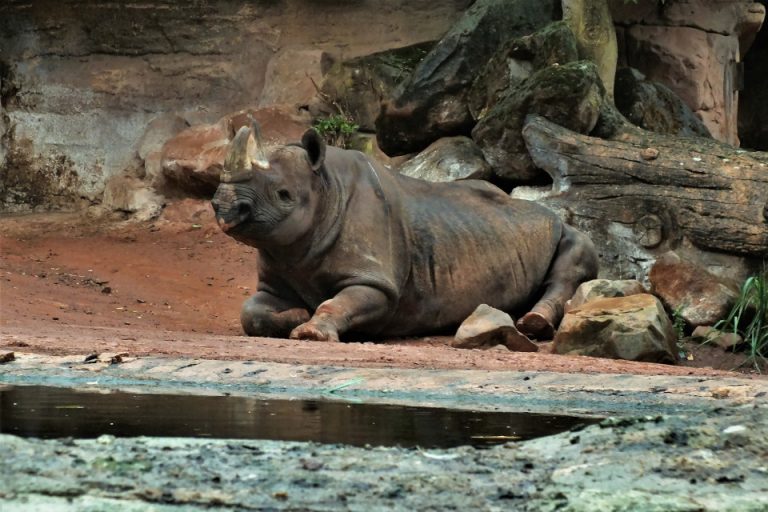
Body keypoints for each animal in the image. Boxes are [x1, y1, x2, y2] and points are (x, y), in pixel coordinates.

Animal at [211, 124, 598, 342]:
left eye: (284, 195)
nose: (223, 206)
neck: (326, 190)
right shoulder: (279, 272)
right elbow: (250, 311)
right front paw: (294, 315)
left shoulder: (377, 282)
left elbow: (341, 301)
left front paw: (308, 331)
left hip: (564, 227)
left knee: (574, 254)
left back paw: (533, 325)